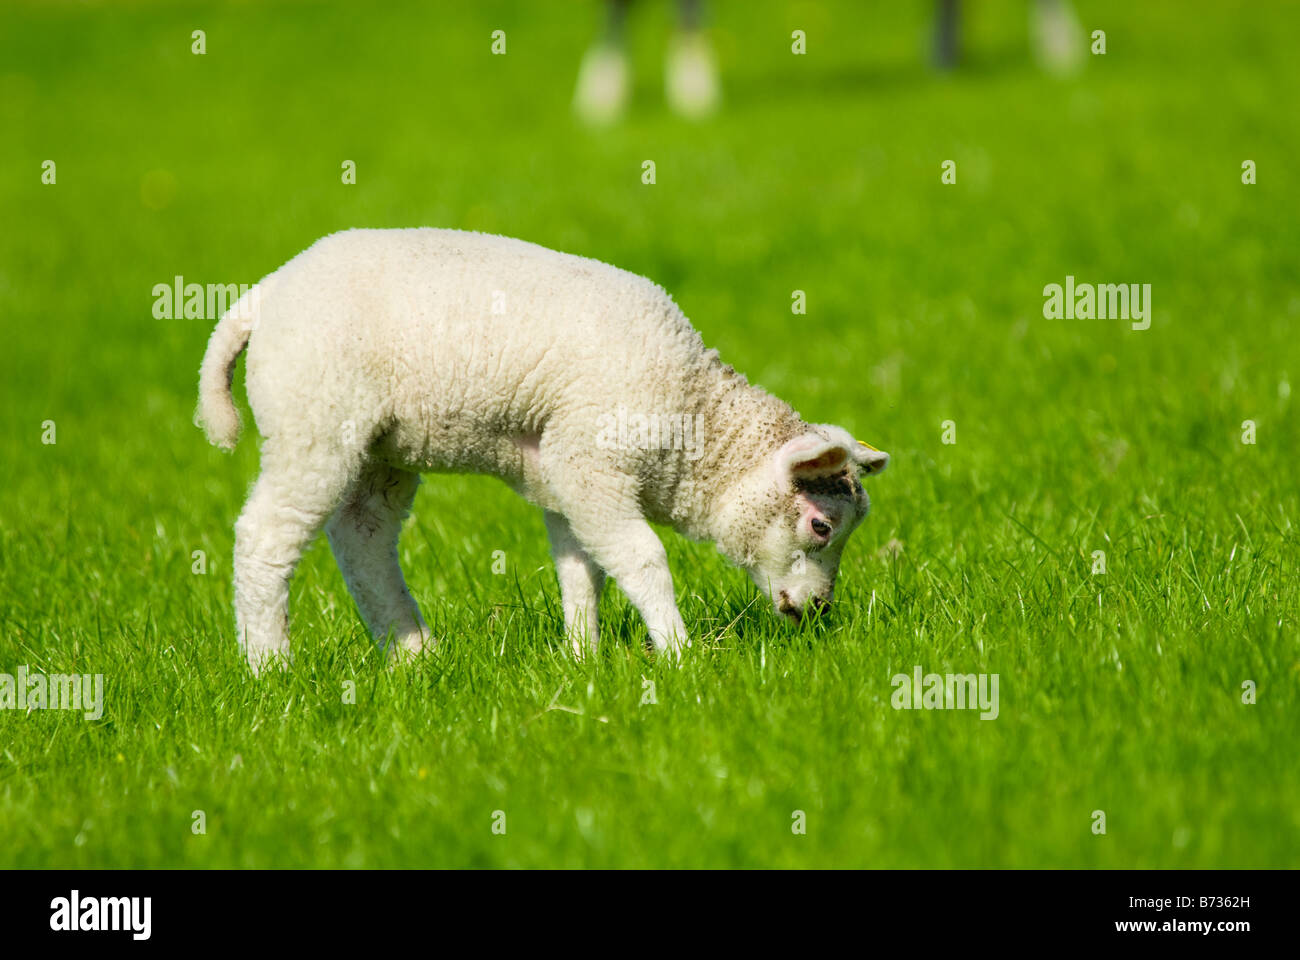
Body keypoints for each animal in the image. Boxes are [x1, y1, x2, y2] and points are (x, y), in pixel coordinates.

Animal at [197, 228, 889, 671]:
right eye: (821, 526)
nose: (816, 612)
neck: (693, 416)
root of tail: (260, 298)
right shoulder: (591, 464)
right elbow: (644, 561)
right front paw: (678, 653)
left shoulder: (561, 471)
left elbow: (581, 571)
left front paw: (583, 658)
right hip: (314, 422)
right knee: (265, 538)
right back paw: (271, 669)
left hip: (379, 450)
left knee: (363, 538)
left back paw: (414, 655)